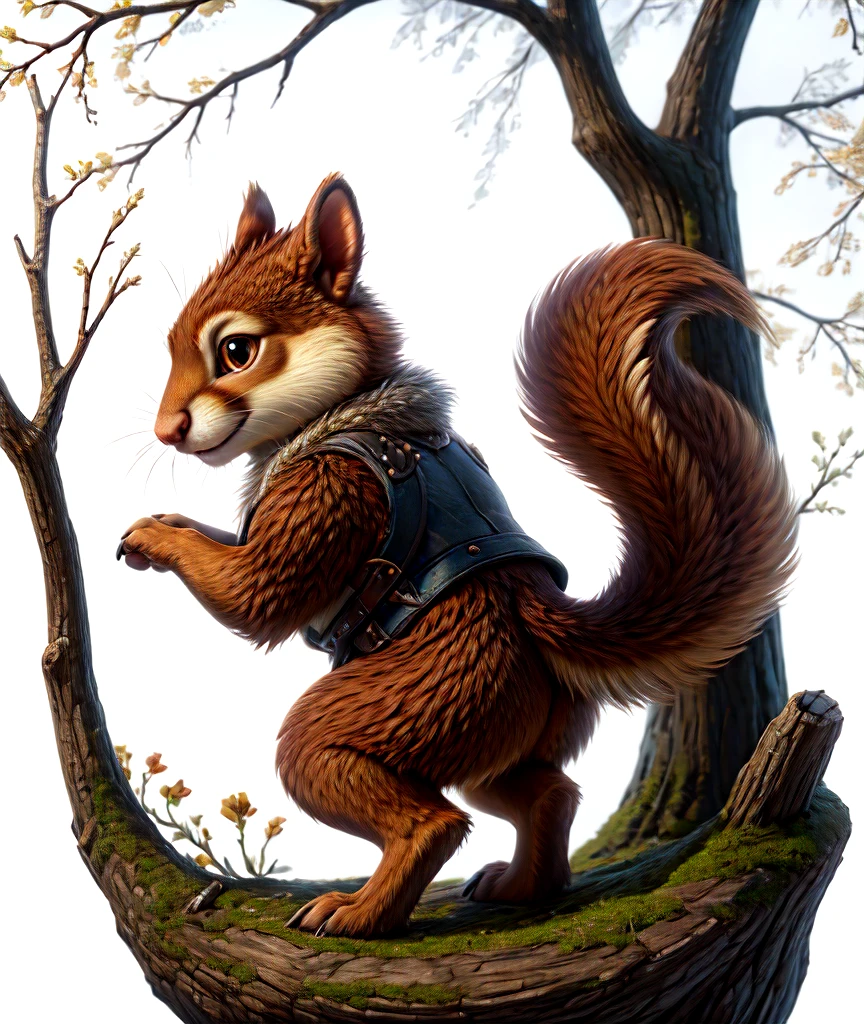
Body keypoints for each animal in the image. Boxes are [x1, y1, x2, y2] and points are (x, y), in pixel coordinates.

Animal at [118, 174, 798, 939]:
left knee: (430, 819)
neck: (343, 412)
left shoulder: (331, 489)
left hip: (411, 703)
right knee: (548, 792)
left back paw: (360, 914)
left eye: (237, 350)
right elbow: (232, 548)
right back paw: (522, 888)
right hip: (492, 744)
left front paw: (157, 539)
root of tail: (537, 625)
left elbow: (256, 595)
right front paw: (164, 522)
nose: (166, 431)